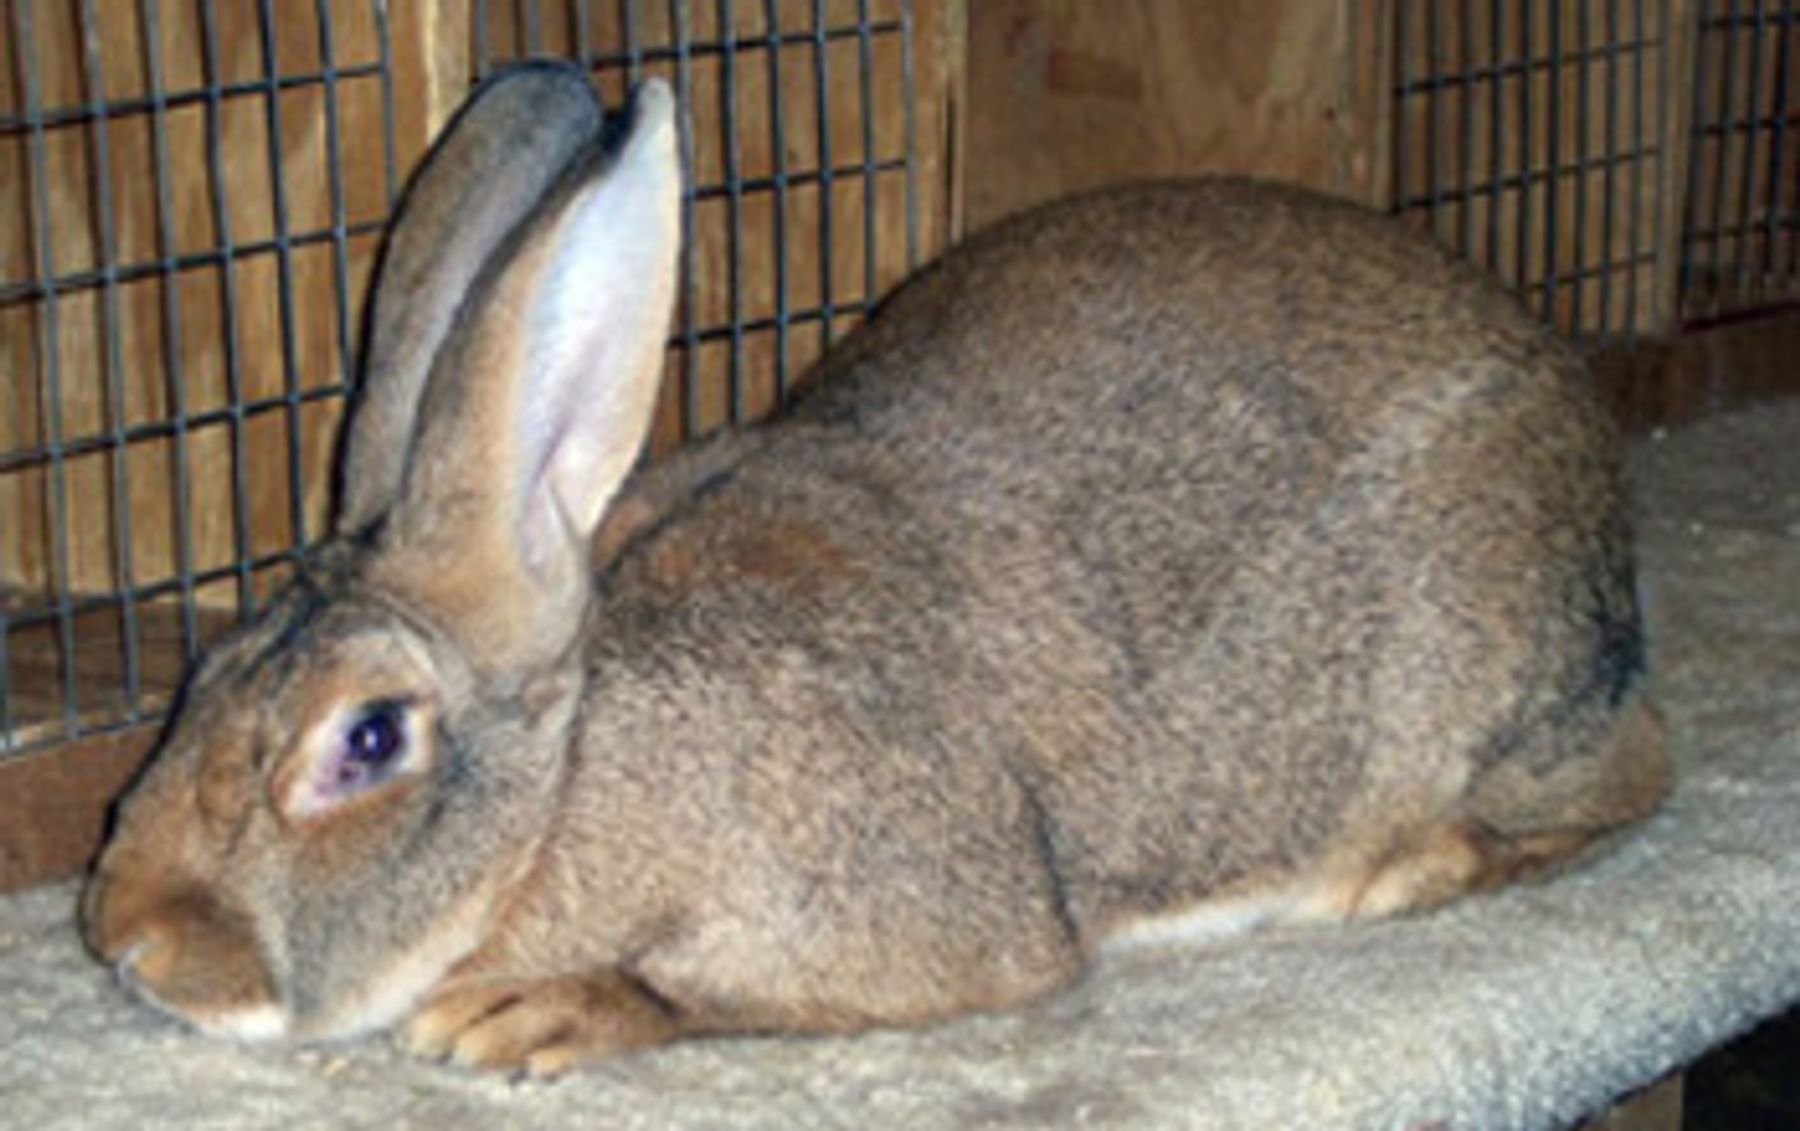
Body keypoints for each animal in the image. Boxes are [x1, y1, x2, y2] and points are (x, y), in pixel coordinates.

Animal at [82, 60, 1672, 1077]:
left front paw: (532, 1018)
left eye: (365, 739)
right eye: (201, 675)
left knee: (1619, 794)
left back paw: (1400, 872)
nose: (121, 940)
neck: (575, 781)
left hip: (1484, 692)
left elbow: (713, 986)